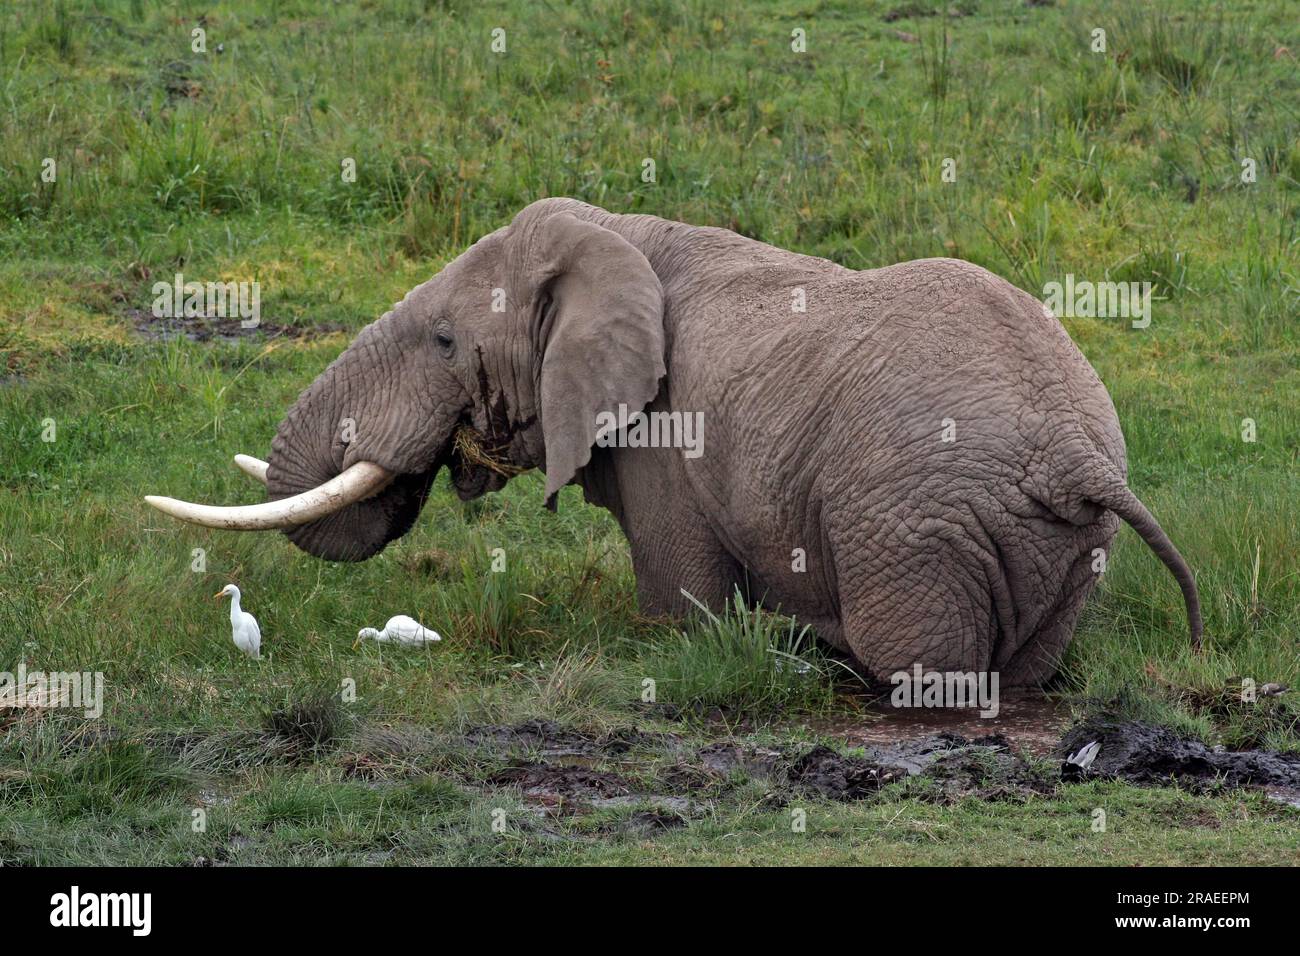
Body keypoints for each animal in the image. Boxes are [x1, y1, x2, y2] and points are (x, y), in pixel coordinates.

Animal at [146, 198, 1202, 685]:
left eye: (444, 341)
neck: (622, 234)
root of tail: (1077, 454)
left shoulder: (666, 435)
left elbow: (677, 603)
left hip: (914, 526)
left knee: (920, 669)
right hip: (1066, 546)